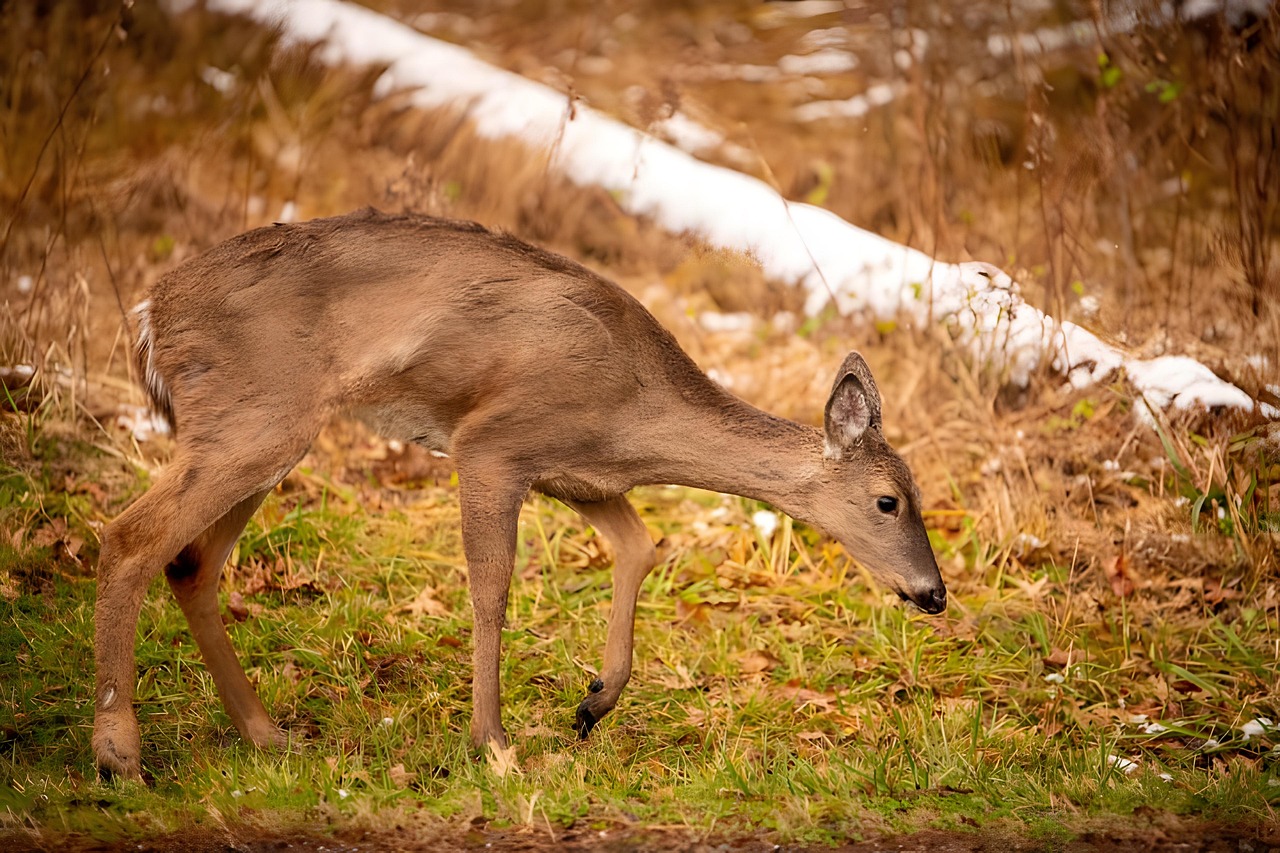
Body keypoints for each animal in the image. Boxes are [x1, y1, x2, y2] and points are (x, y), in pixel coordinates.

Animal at [93, 208, 947, 780]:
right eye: (888, 500)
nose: (934, 593)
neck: (635, 405)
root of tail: (149, 312)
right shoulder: (494, 442)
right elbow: (492, 587)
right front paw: (495, 744)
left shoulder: (579, 473)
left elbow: (641, 546)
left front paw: (593, 701)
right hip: (254, 415)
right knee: (130, 536)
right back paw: (118, 753)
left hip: (267, 430)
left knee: (191, 562)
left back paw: (267, 735)